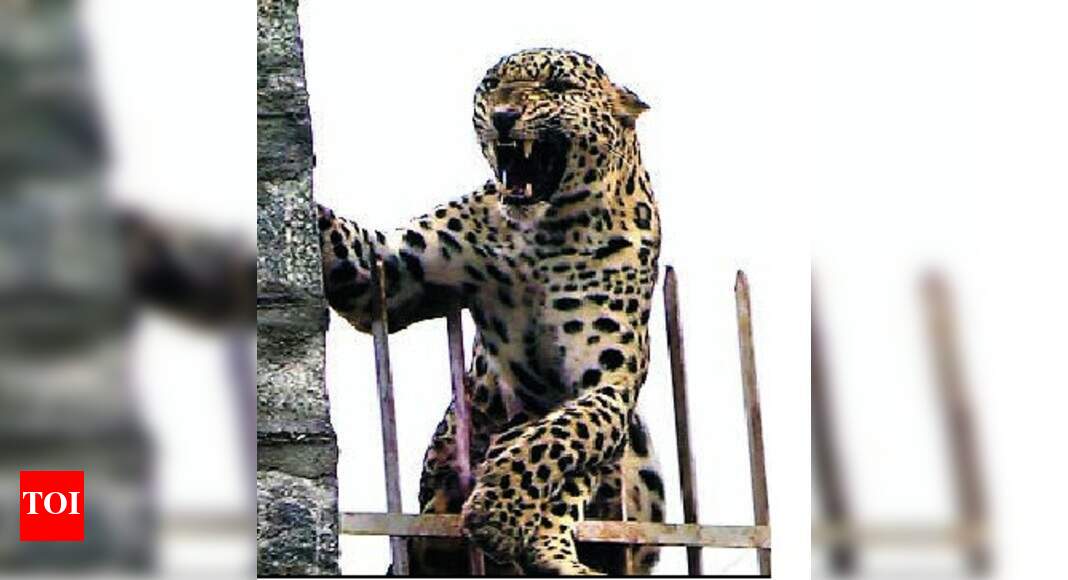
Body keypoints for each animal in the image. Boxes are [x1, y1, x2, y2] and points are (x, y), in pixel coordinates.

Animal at [317, 48, 665, 575]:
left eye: (558, 87)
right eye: (493, 85)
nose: (503, 115)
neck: (547, 233)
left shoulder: (609, 382)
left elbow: (559, 437)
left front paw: (500, 507)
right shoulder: (389, 274)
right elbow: (340, 237)